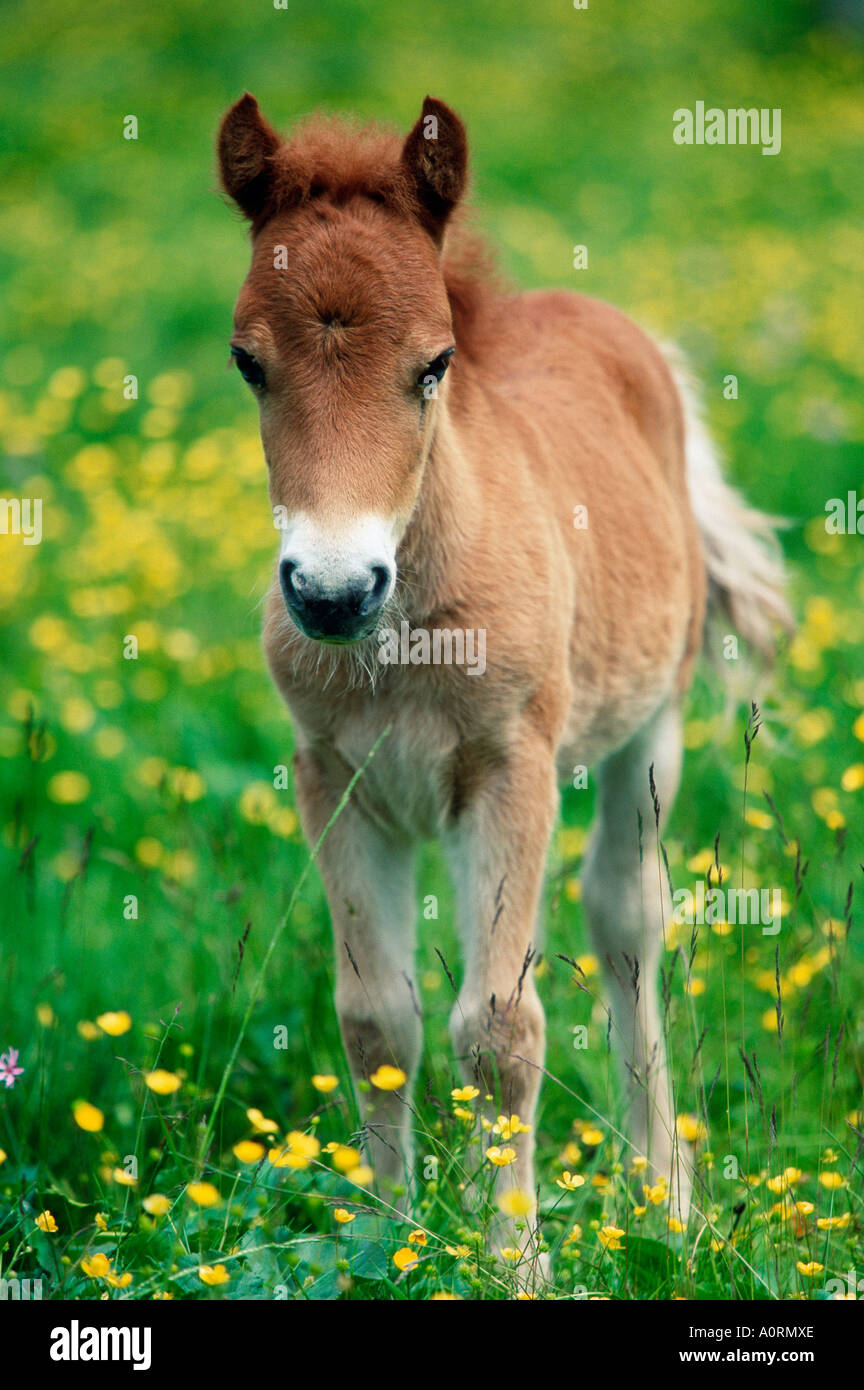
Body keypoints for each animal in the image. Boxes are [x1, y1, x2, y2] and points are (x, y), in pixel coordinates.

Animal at [217, 92, 790, 1258]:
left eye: (434, 364)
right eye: (248, 363)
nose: (332, 593)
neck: (408, 633)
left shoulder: (509, 770)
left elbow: (500, 1027)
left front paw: (510, 1260)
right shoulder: (335, 779)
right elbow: (375, 1018)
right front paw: (390, 1242)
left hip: (648, 722)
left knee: (626, 921)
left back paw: (663, 1202)